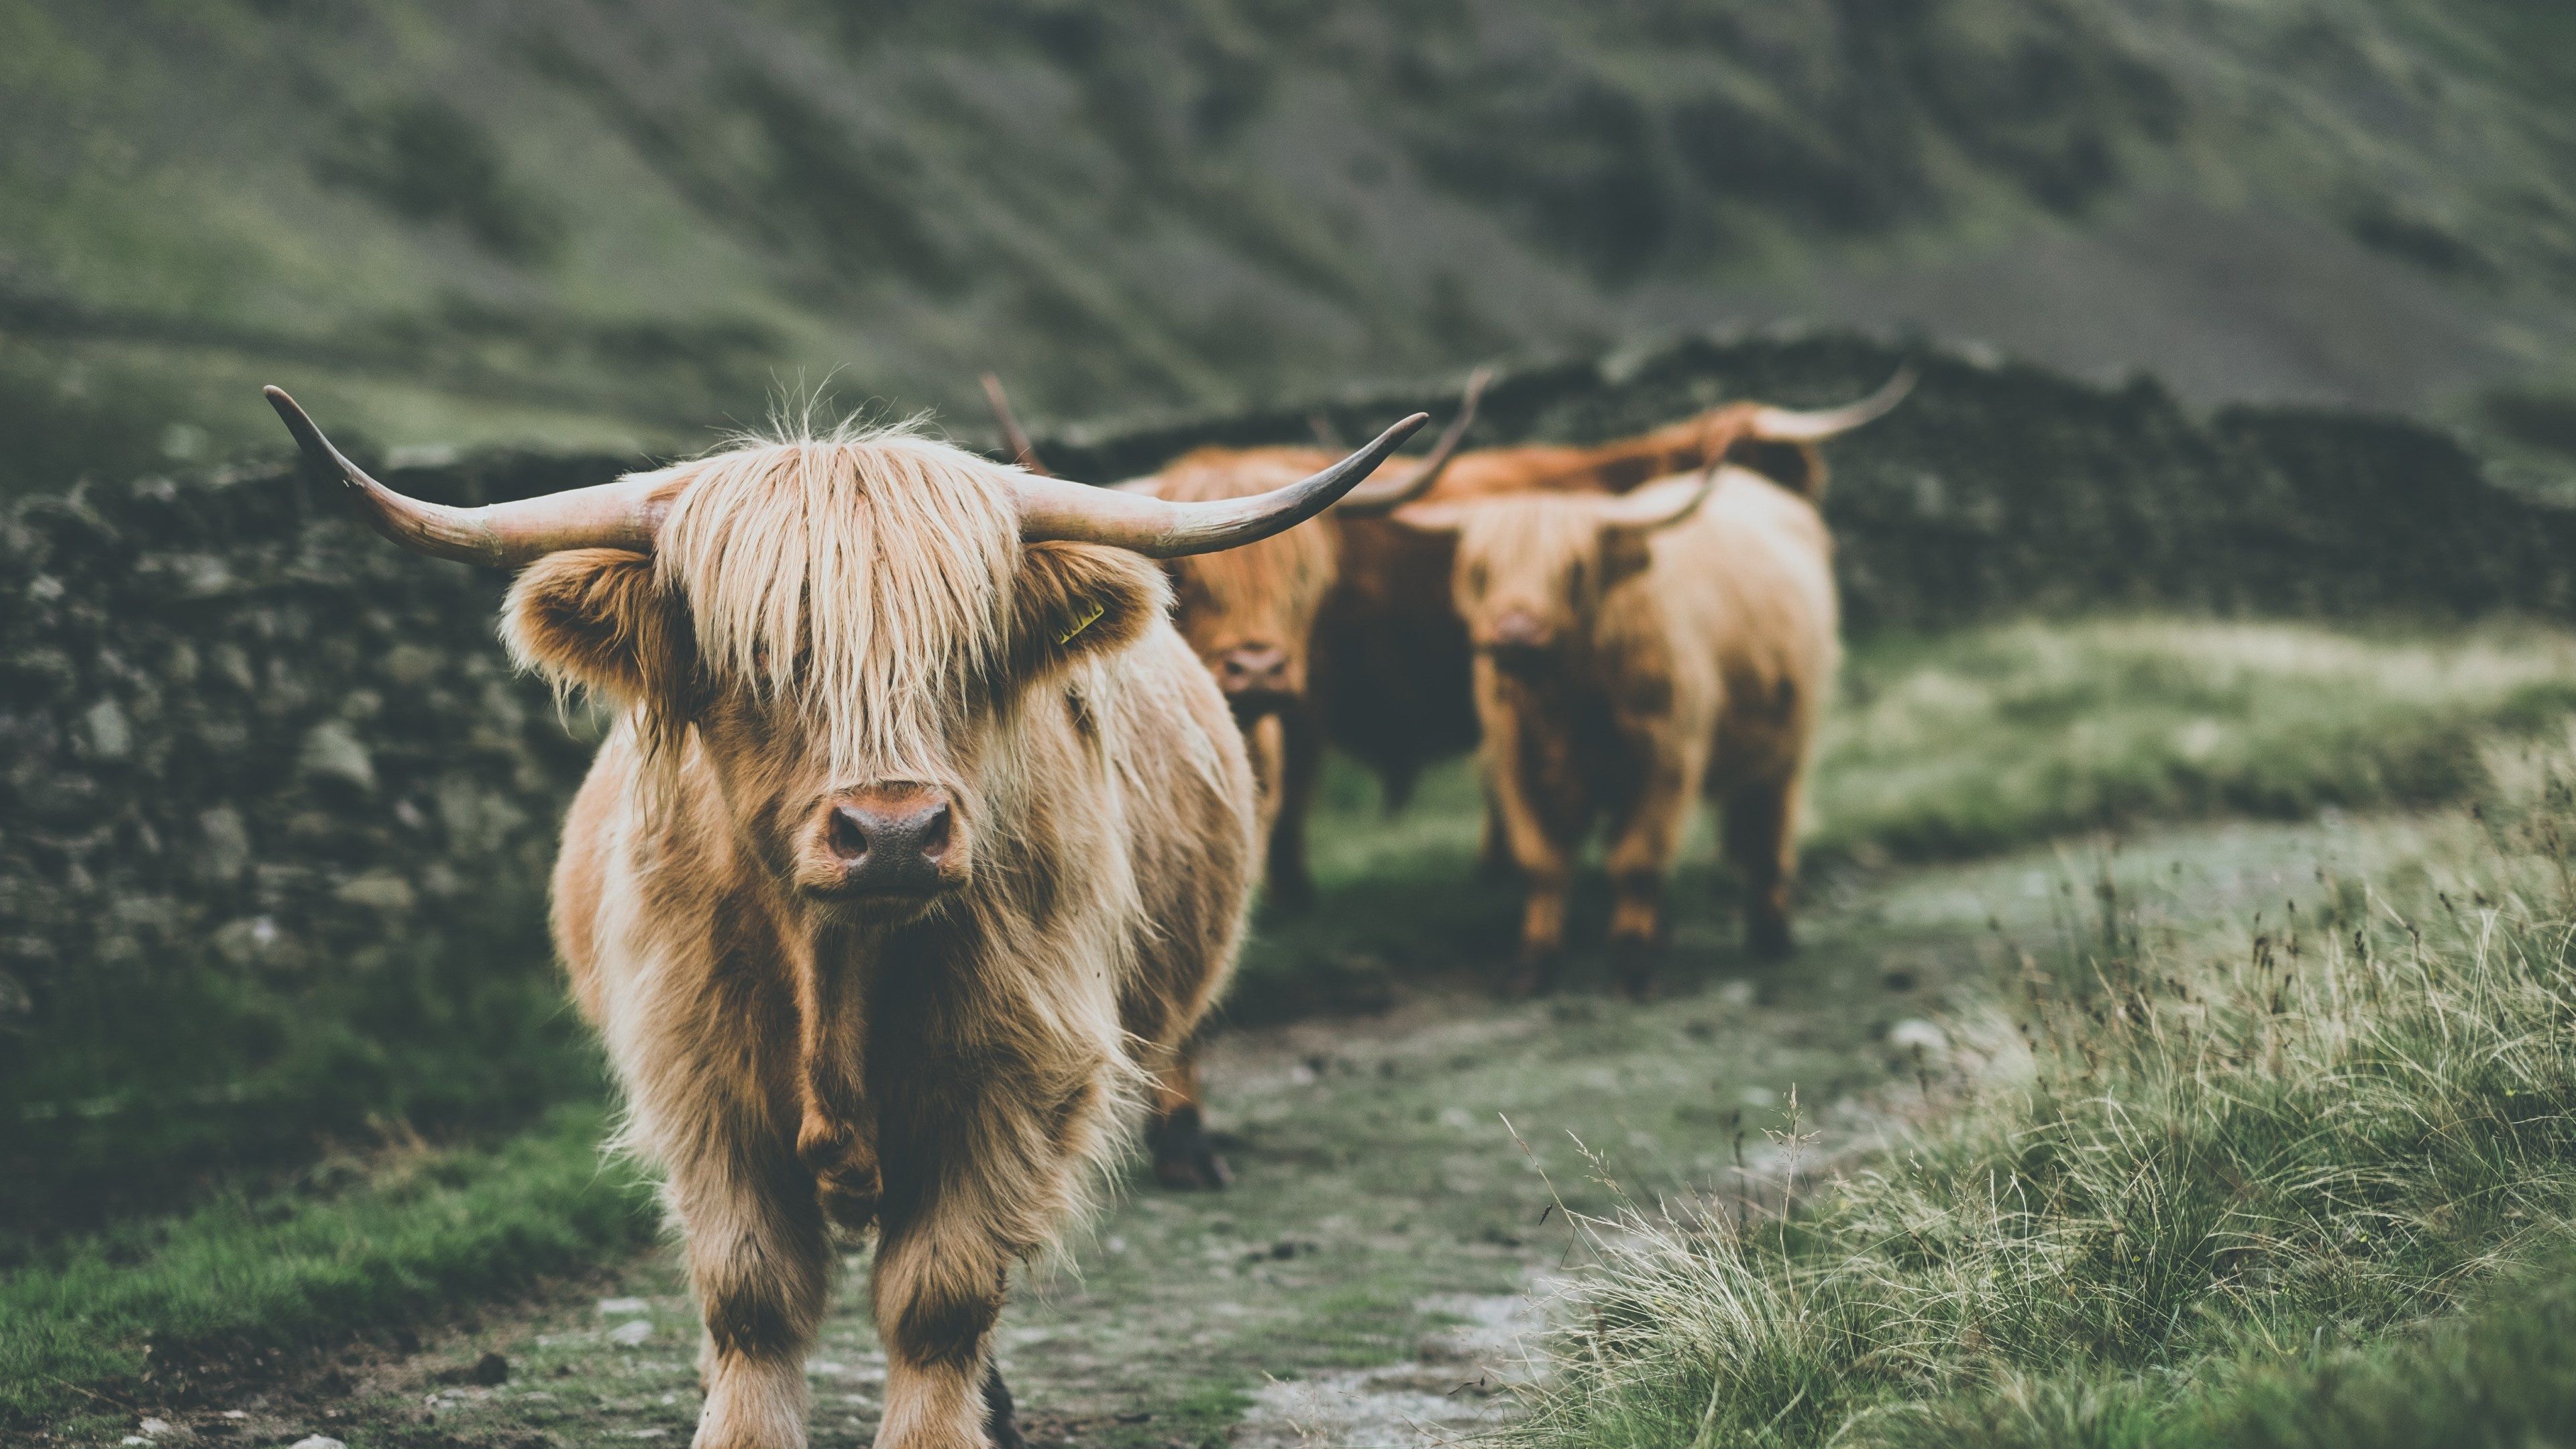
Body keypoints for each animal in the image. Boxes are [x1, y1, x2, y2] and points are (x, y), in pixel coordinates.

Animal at [261, 386, 1426, 1449]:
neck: (838, 969)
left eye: (970, 655)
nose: (895, 832)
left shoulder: (1014, 1086)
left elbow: (941, 1299)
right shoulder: (700, 1090)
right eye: (759, 657)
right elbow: (751, 1301)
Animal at [1389, 456, 1840, 1000]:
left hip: (1790, 739)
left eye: (1574, 570)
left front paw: (1633, 961)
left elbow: (1636, 861)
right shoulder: (1517, 764)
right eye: (1481, 569)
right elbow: (1543, 864)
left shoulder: (1668, 759)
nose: (1516, 633)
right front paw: (1533, 964)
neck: (1562, 704)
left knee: (1770, 828)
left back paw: (1771, 931)